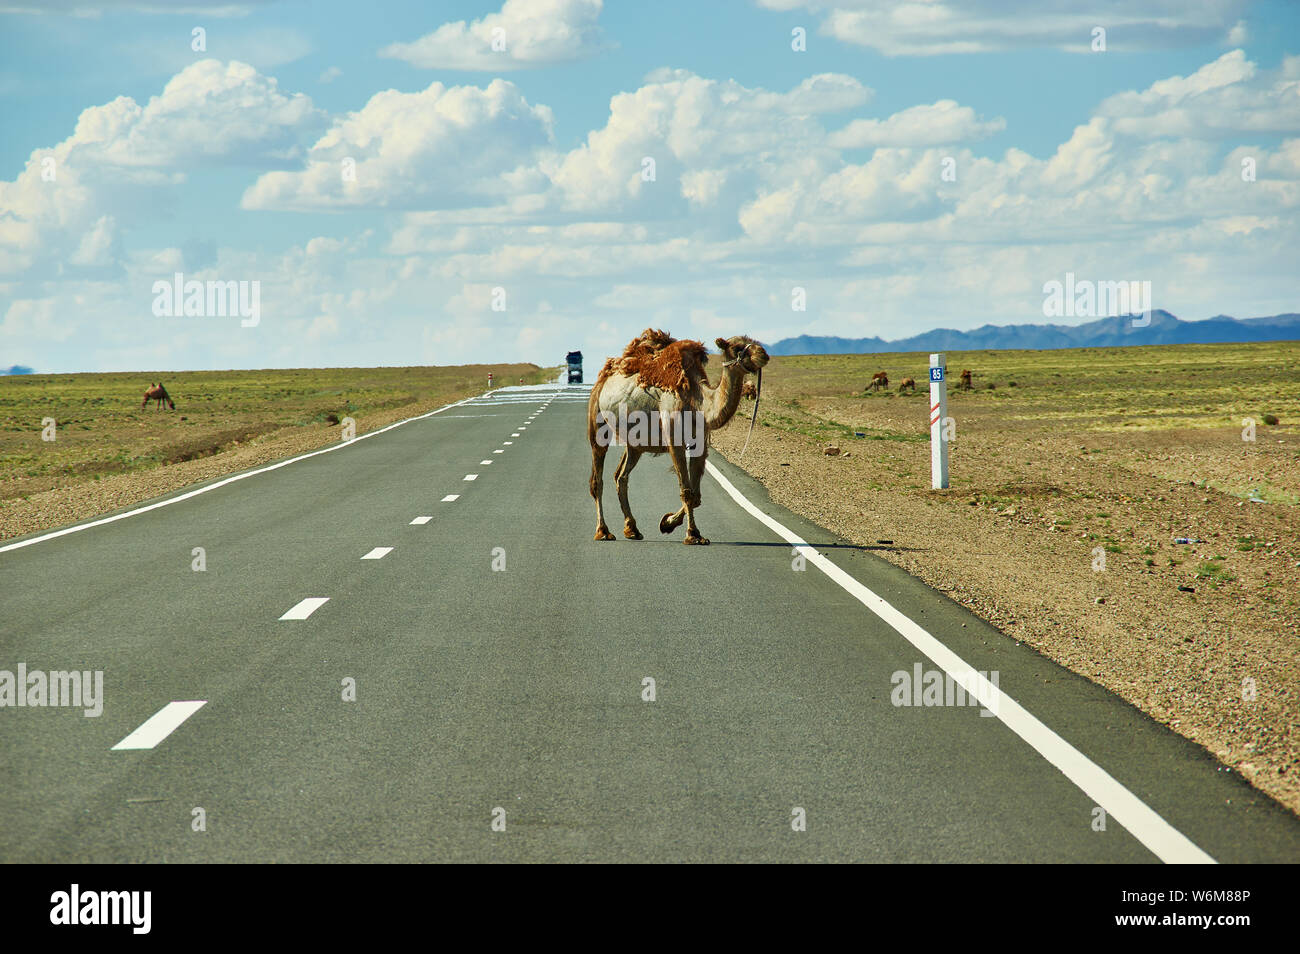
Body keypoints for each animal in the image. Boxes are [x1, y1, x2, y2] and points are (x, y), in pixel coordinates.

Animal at [588, 328, 768, 545]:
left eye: (755, 341)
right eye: (737, 347)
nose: (764, 355)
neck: (698, 403)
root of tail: (605, 376)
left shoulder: (700, 443)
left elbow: (696, 495)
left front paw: (667, 523)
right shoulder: (674, 440)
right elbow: (687, 491)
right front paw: (693, 534)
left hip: (635, 444)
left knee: (621, 476)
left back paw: (632, 529)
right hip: (597, 422)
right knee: (597, 480)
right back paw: (603, 531)